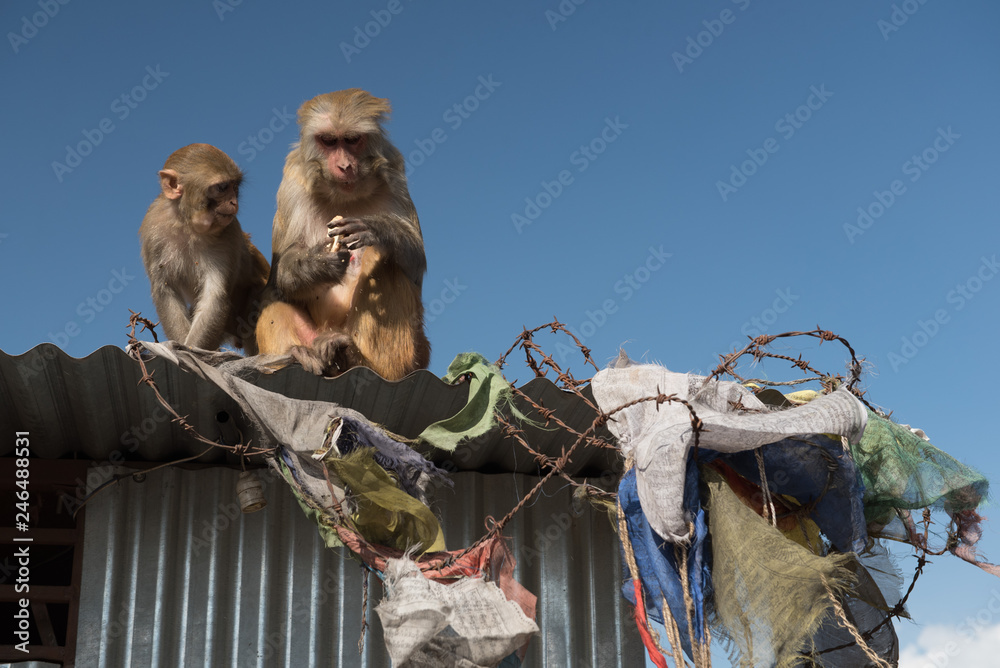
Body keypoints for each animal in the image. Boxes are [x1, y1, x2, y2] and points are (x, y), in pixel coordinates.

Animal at [139, 143, 270, 354]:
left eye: (235, 187)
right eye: (222, 187)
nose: (234, 202)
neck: (187, 225)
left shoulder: (229, 234)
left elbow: (214, 296)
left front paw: (191, 352)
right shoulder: (154, 229)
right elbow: (165, 290)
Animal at [255, 89, 430, 380]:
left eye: (351, 140)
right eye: (328, 141)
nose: (345, 165)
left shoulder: (395, 172)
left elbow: (416, 262)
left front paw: (376, 228)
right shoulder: (292, 181)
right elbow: (282, 274)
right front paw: (315, 265)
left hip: (416, 355)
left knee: (386, 262)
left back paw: (358, 359)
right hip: (312, 335)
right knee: (273, 303)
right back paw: (302, 355)